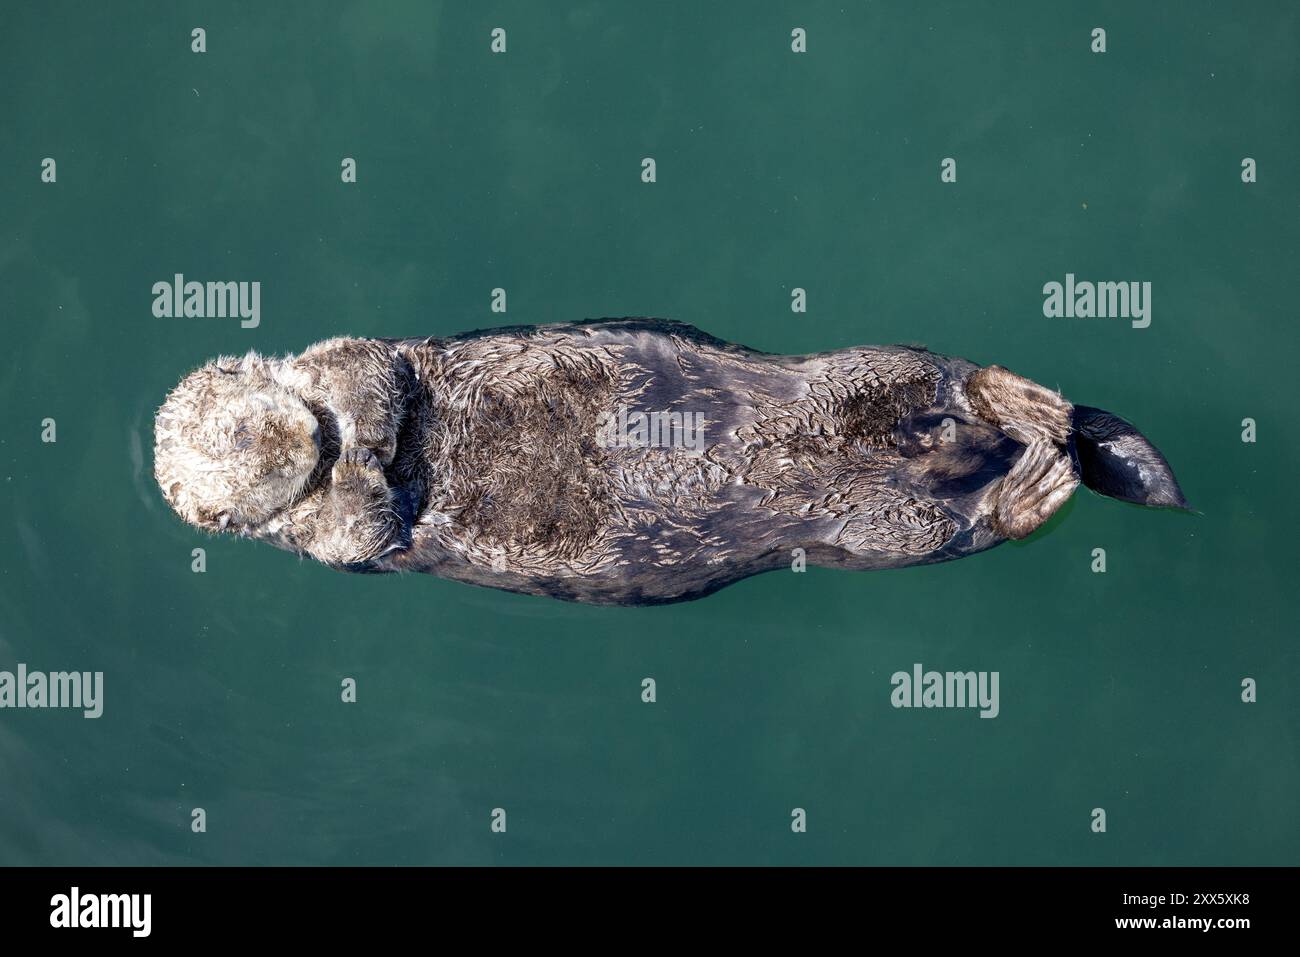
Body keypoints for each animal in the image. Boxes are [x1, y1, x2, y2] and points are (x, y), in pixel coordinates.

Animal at [154, 319, 1186, 605]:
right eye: (253, 454)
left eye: (265, 426)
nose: (316, 441)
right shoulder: (334, 539)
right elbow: (359, 523)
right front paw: (364, 469)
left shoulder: (350, 359)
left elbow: (371, 370)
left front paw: (368, 431)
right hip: (879, 528)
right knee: (961, 520)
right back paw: (1034, 474)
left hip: (862, 375)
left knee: (949, 380)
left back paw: (1027, 404)